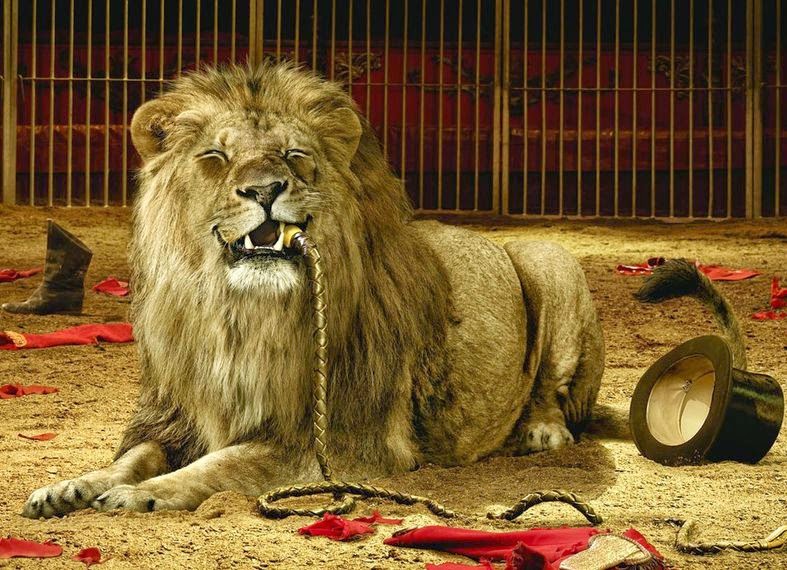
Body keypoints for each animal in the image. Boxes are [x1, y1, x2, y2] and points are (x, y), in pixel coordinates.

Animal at [23, 63, 603, 518]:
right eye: (215, 157)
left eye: (294, 153)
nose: (264, 189)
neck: (240, 316)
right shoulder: (176, 416)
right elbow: (132, 457)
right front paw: (72, 487)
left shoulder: (340, 442)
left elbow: (222, 465)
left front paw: (143, 494)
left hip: (548, 259)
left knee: (553, 388)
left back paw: (542, 433)